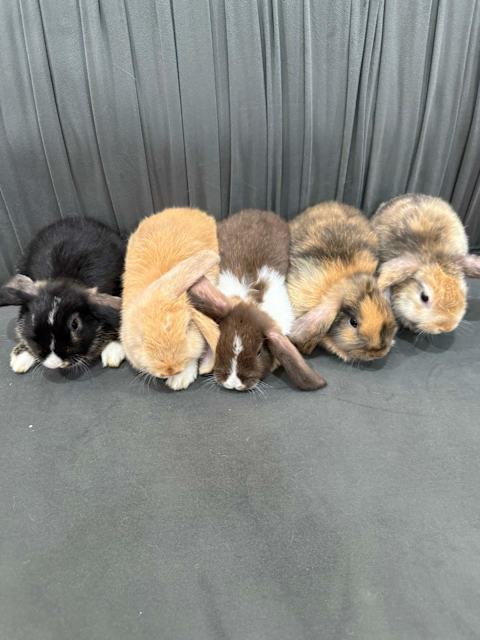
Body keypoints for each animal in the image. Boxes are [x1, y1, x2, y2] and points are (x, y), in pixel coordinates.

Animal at [0, 217, 125, 373]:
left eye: (75, 324)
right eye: (33, 320)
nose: (55, 363)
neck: (65, 278)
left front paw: (114, 350)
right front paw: (21, 357)